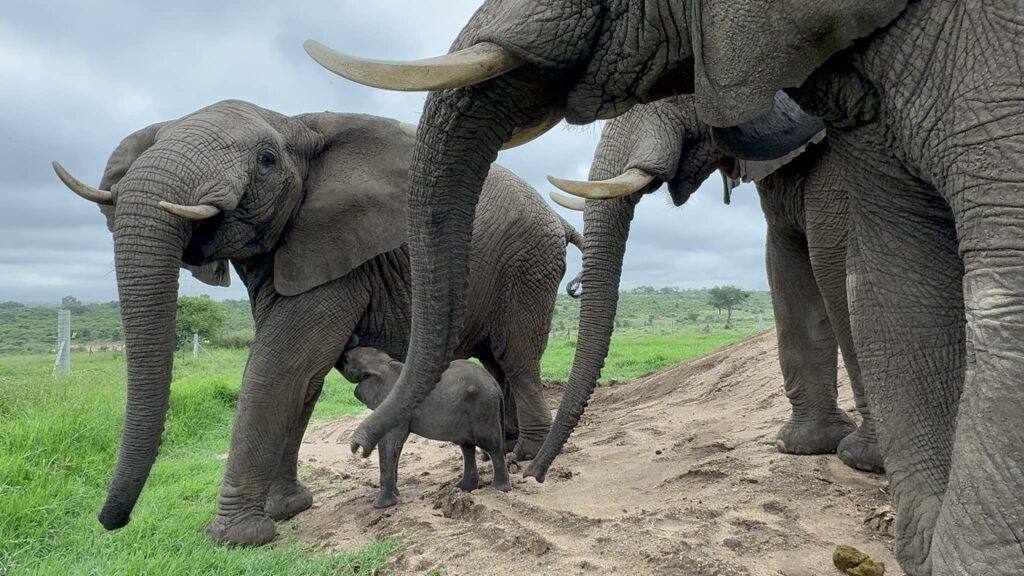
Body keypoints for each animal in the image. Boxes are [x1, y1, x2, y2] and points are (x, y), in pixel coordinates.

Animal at [52, 99, 582, 546]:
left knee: (516, 357)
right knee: (496, 361)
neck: (293, 122)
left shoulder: (341, 257)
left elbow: (278, 366)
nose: (112, 521)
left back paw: (525, 455)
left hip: (527, 263)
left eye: (266, 160)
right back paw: (505, 445)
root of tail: (558, 220)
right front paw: (287, 509)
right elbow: (303, 377)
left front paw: (238, 537)